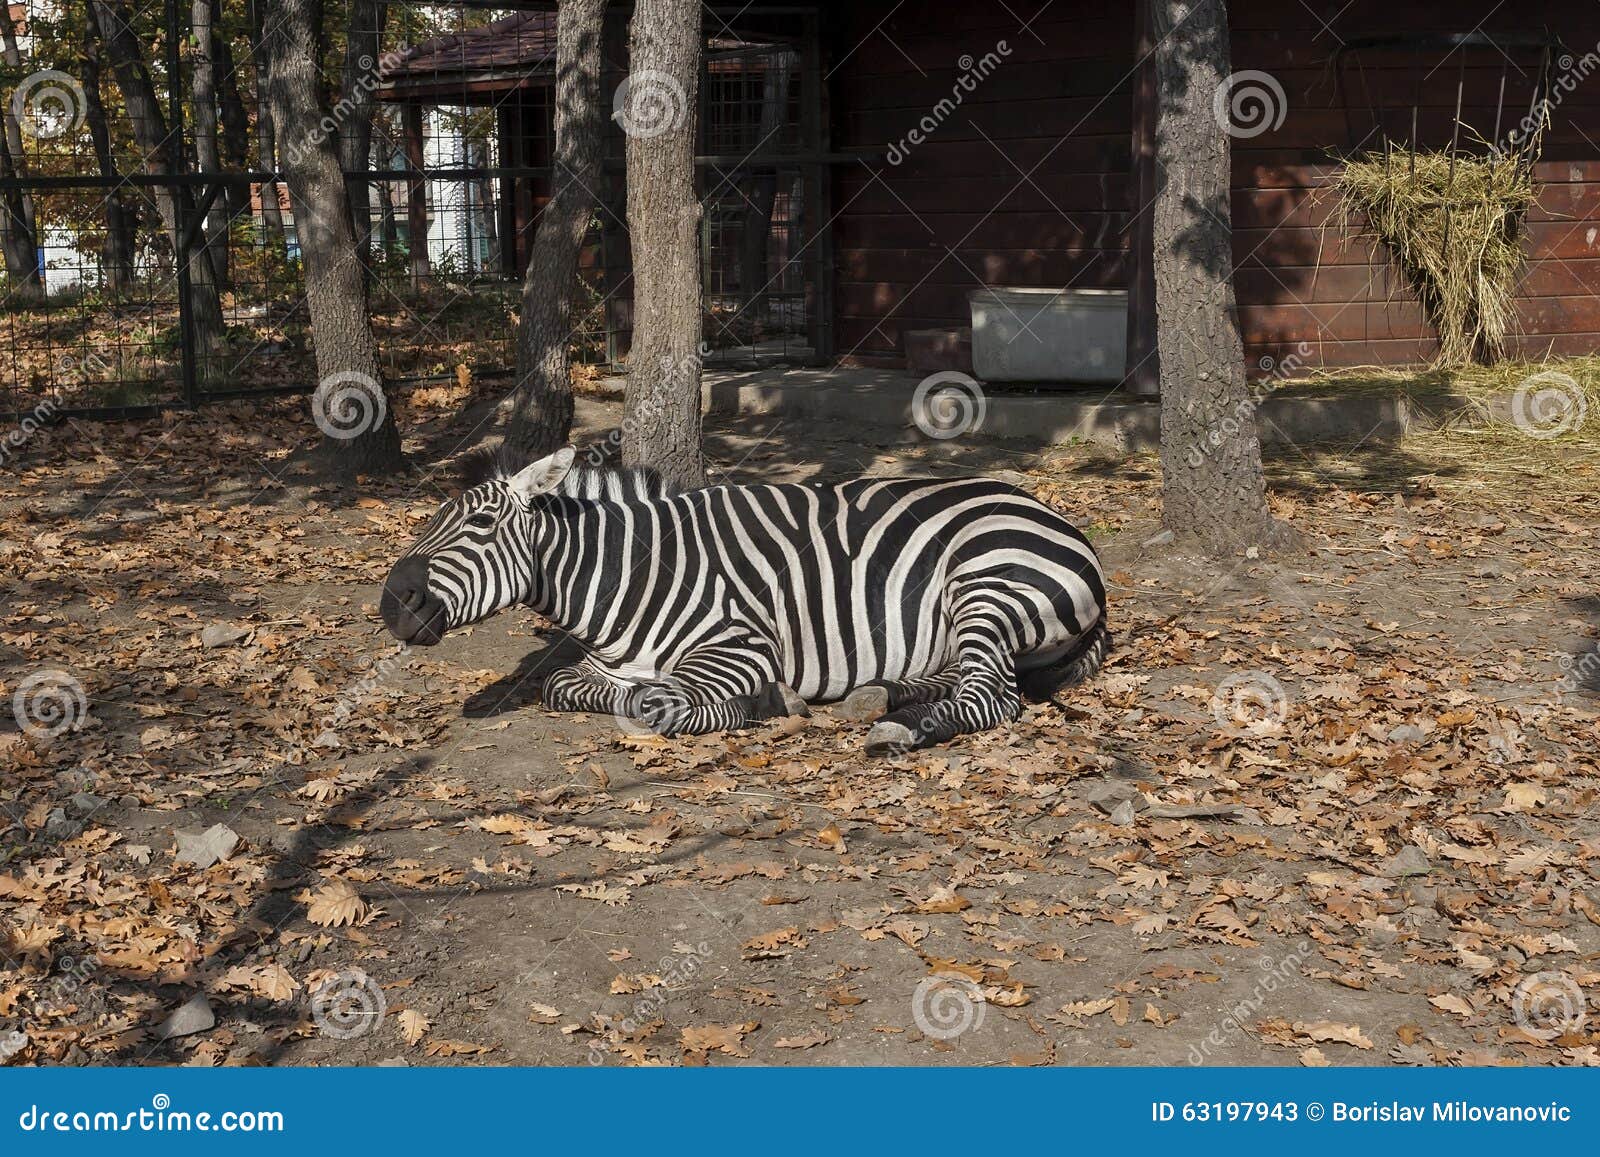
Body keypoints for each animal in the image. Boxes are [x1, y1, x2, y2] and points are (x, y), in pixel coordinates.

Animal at [381, 444, 1109, 754]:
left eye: (479, 524)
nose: (392, 601)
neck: (629, 579)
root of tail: (1052, 513)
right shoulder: (601, 665)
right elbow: (563, 684)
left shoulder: (743, 645)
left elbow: (659, 703)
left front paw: (767, 703)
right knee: (963, 676)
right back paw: (883, 694)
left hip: (984, 582)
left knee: (992, 696)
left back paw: (900, 725)